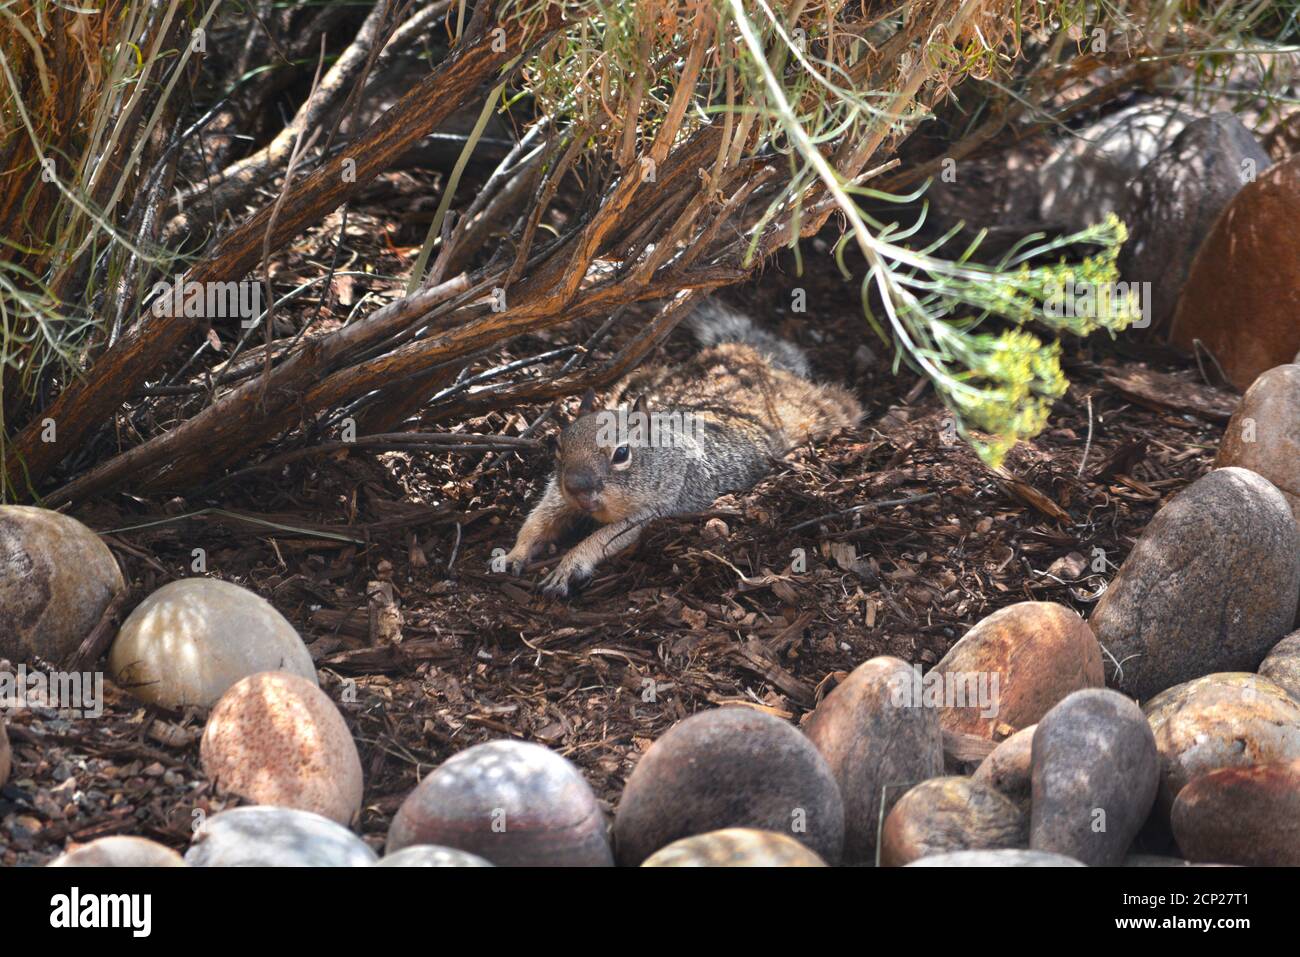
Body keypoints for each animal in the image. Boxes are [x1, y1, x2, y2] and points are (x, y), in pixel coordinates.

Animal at [502, 300, 863, 597]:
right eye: (558, 447)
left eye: (621, 454)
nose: (577, 487)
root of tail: (752, 356)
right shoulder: (559, 495)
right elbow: (540, 518)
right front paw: (513, 554)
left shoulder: (656, 510)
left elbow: (604, 538)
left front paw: (568, 566)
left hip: (819, 412)